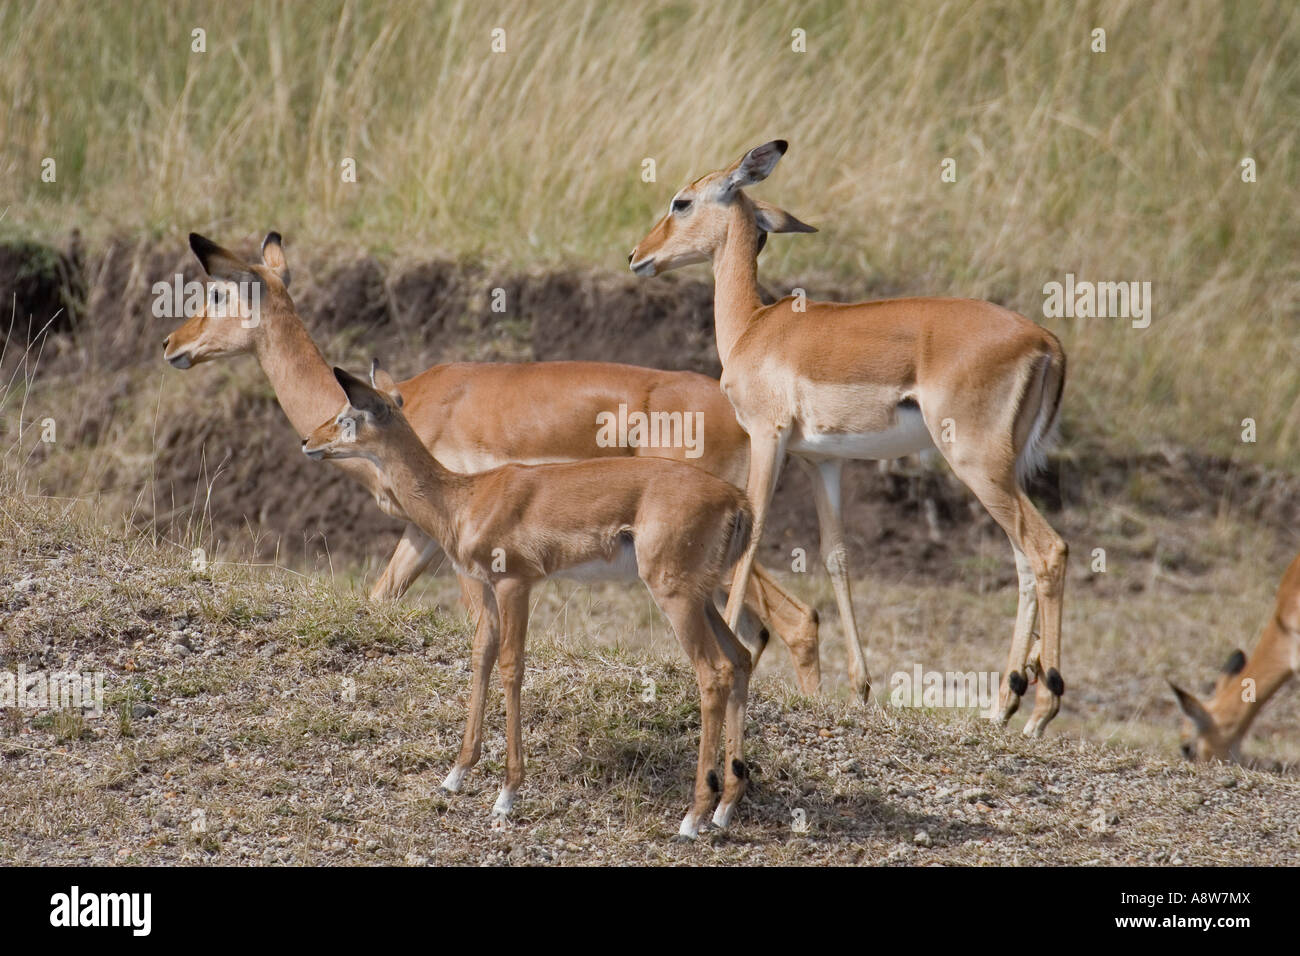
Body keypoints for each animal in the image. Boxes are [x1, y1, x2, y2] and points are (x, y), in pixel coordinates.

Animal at [162, 233, 821, 691]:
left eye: (217, 291)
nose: (172, 344)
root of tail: (738, 407)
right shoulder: (424, 535)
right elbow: (380, 598)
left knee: (794, 620)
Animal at [304, 366, 754, 837]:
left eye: (347, 416)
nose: (307, 441)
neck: (465, 500)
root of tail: (738, 501)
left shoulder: (514, 584)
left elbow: (511, 667)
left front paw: (506, 794)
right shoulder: (485, 587)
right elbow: (481, 655)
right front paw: (455, 775)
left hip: (676, 596)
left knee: (714, 673)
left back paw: (693, 817)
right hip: (699, 597)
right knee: (741, 658)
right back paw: (724, 808)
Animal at [630, 140, 1069, 735]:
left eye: (682, 201)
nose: (638, 256)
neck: (754, 327)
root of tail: (1045, 340)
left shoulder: (768, 438)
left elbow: (756, 532)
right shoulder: (823, 462)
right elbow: (837, 555)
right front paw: (860, 689)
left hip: (977, 463)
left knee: (1048, 550)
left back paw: (1039, 711)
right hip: (1005, 471)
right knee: (1023, 560)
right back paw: (1002, 703)